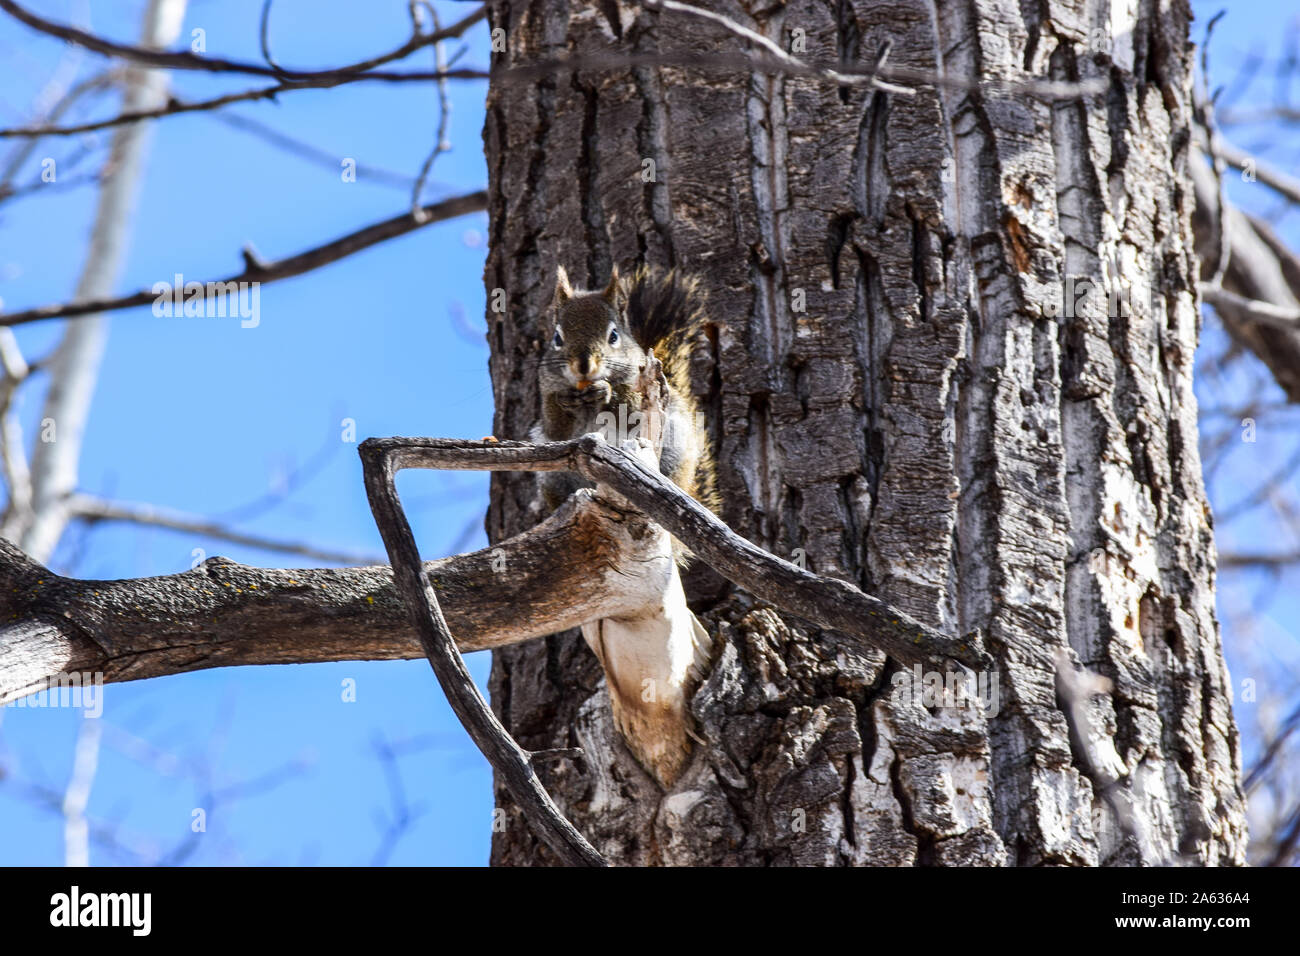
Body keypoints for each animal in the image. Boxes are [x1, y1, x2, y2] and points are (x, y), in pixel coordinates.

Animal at [530, 263, 718, 786]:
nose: (583, 366)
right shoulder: (548, 414)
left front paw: (610, 390)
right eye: (555, 337)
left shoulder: (640, 401)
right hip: (554, 481)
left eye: (614, 335)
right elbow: (556, 421)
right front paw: (574, 398)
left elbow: (629, 400)